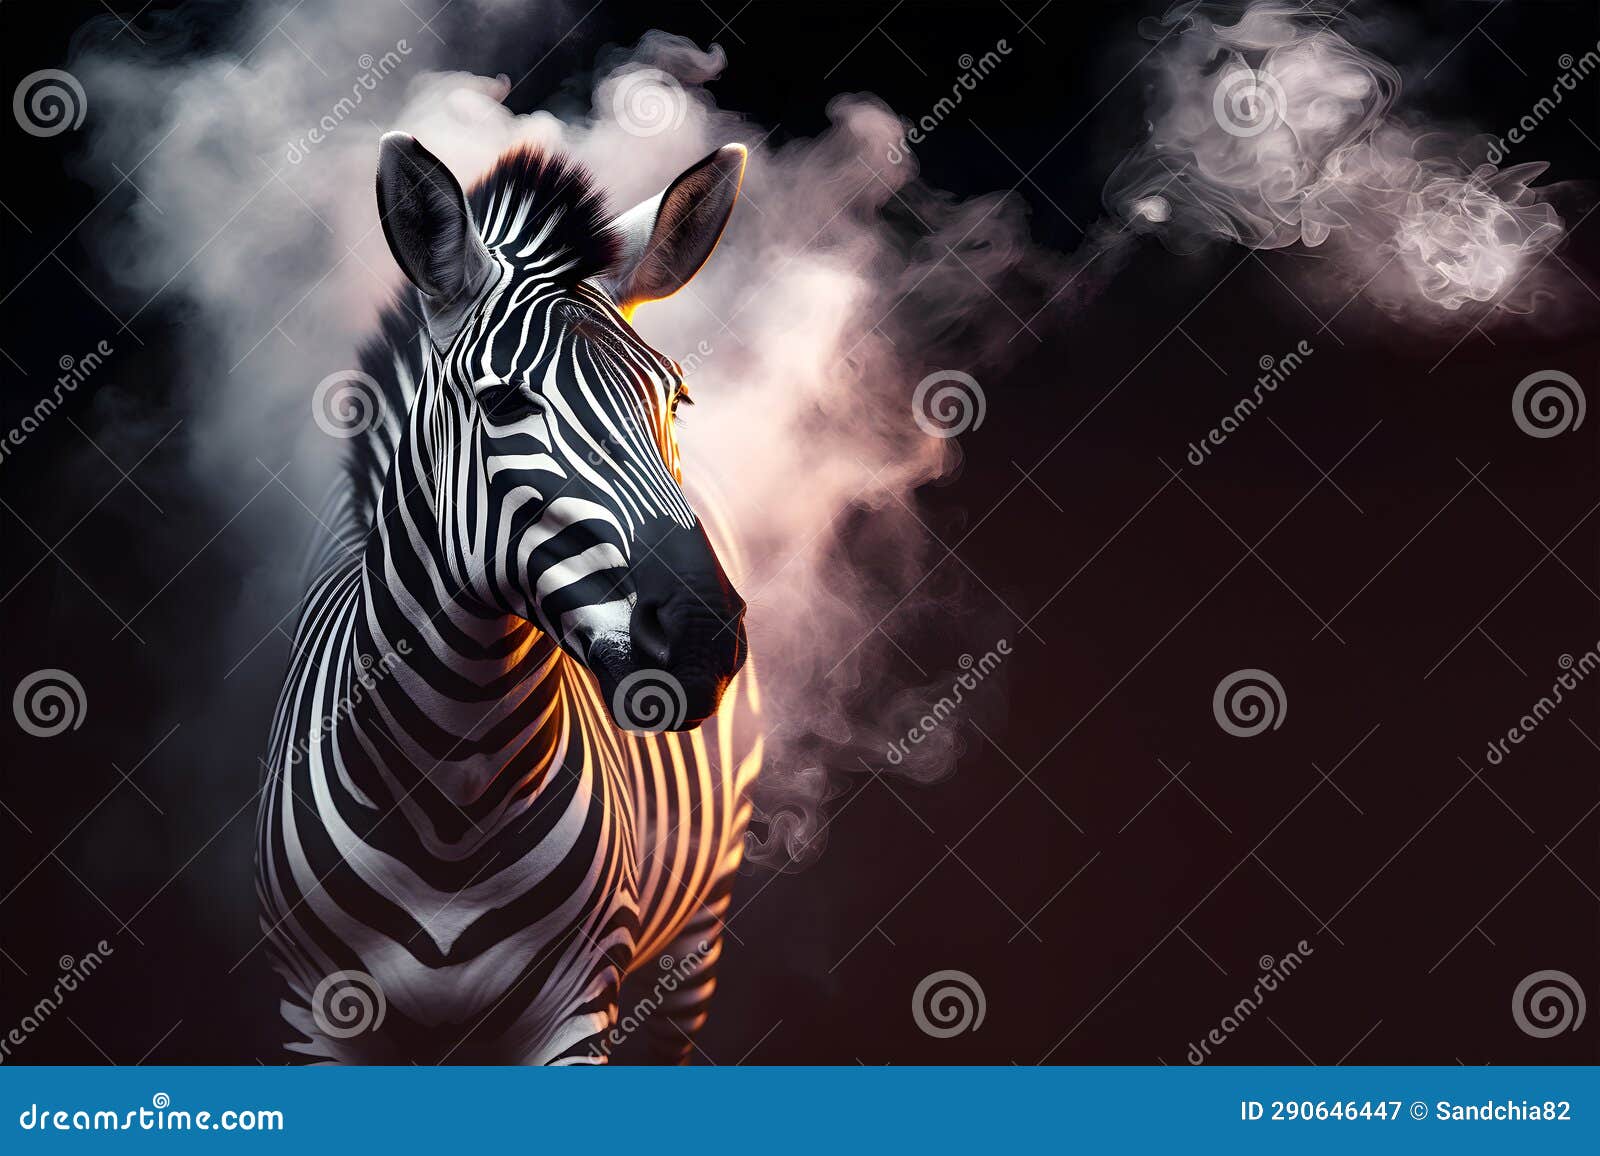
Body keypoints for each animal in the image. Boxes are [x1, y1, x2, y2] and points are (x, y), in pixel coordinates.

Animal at [255, 131, 763, 1064]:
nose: (704, 632)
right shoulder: (312, 1013)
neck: (458, 784)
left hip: (698, 934)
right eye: (501, 403)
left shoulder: (576, 1012)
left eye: (675, 399)